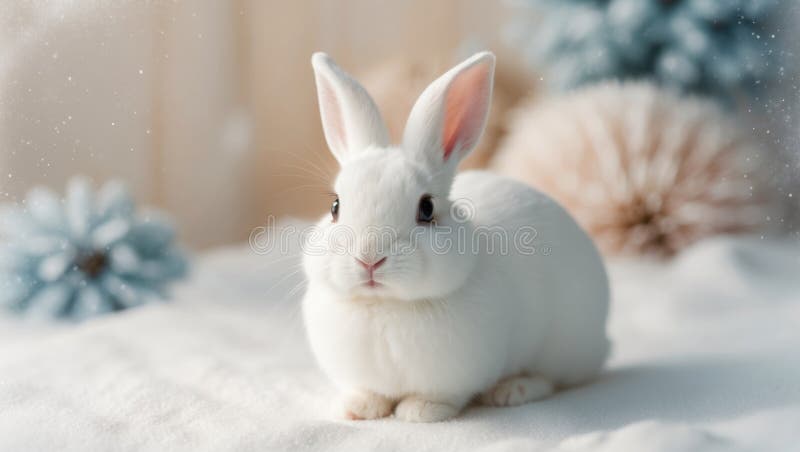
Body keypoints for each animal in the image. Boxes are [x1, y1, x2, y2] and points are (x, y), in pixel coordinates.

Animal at [301, 51, 610, 423]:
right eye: (335, 206)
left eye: (427, 208)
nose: (369, 259)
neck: (385, 304)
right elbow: (368, 391)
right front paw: (358, 409)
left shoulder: (455, 378)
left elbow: (441, 397)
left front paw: (419, 412)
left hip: (562, 345)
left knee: (551, 378)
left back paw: (513, 391)